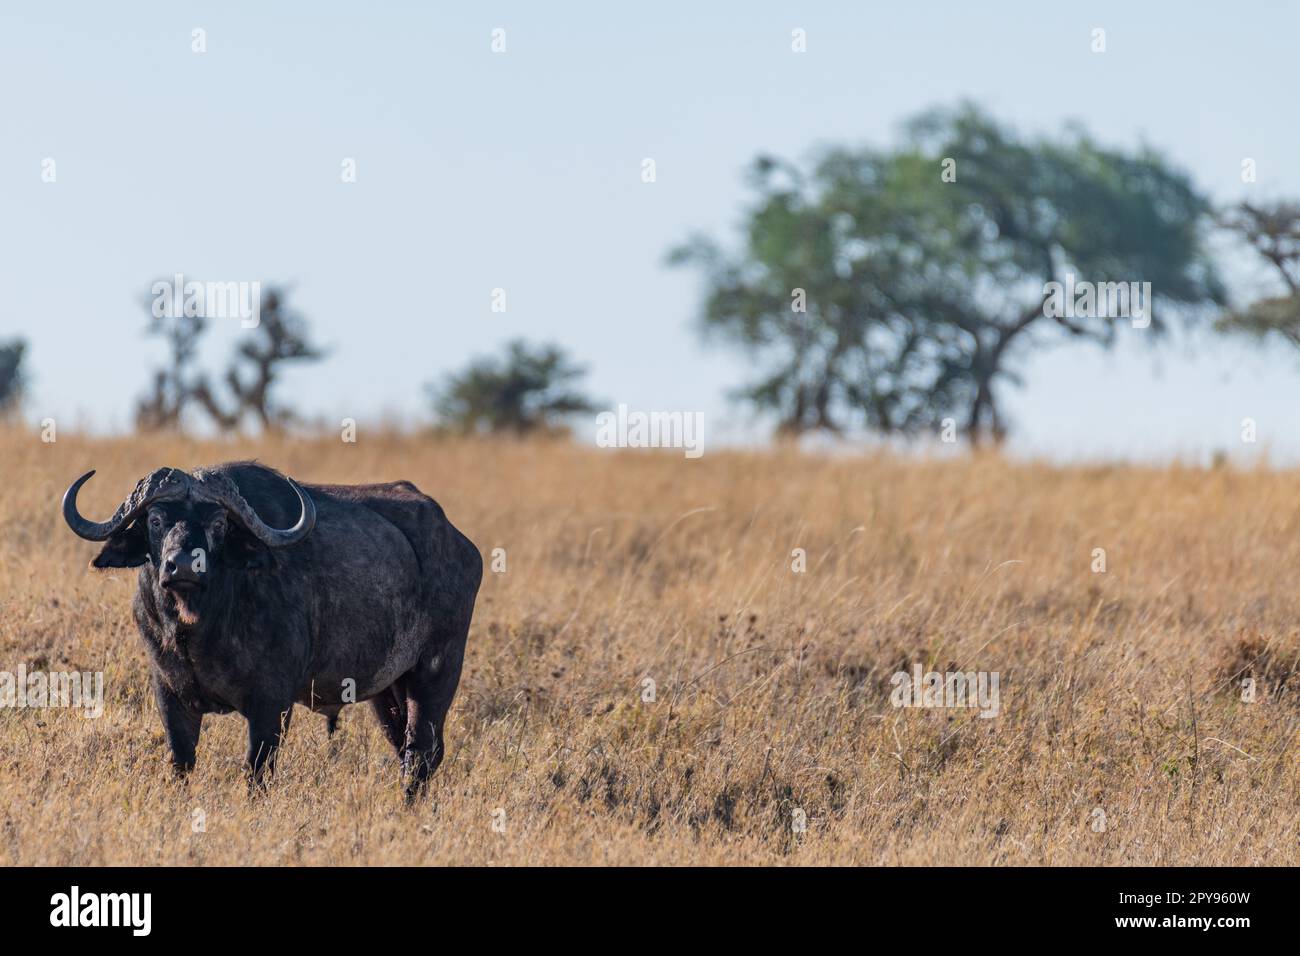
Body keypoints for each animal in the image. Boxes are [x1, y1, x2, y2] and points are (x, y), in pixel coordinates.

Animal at [61, 462, 481, 796]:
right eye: (155, 520)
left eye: (218, 523)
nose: (181, 565)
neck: (198, 629)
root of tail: (462, 545)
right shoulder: (170, 695)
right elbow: (181, 764)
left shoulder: (271, 703)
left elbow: (257, 772)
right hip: (387, 690)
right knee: (405, 749)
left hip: (436, 672)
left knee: (422, 752)